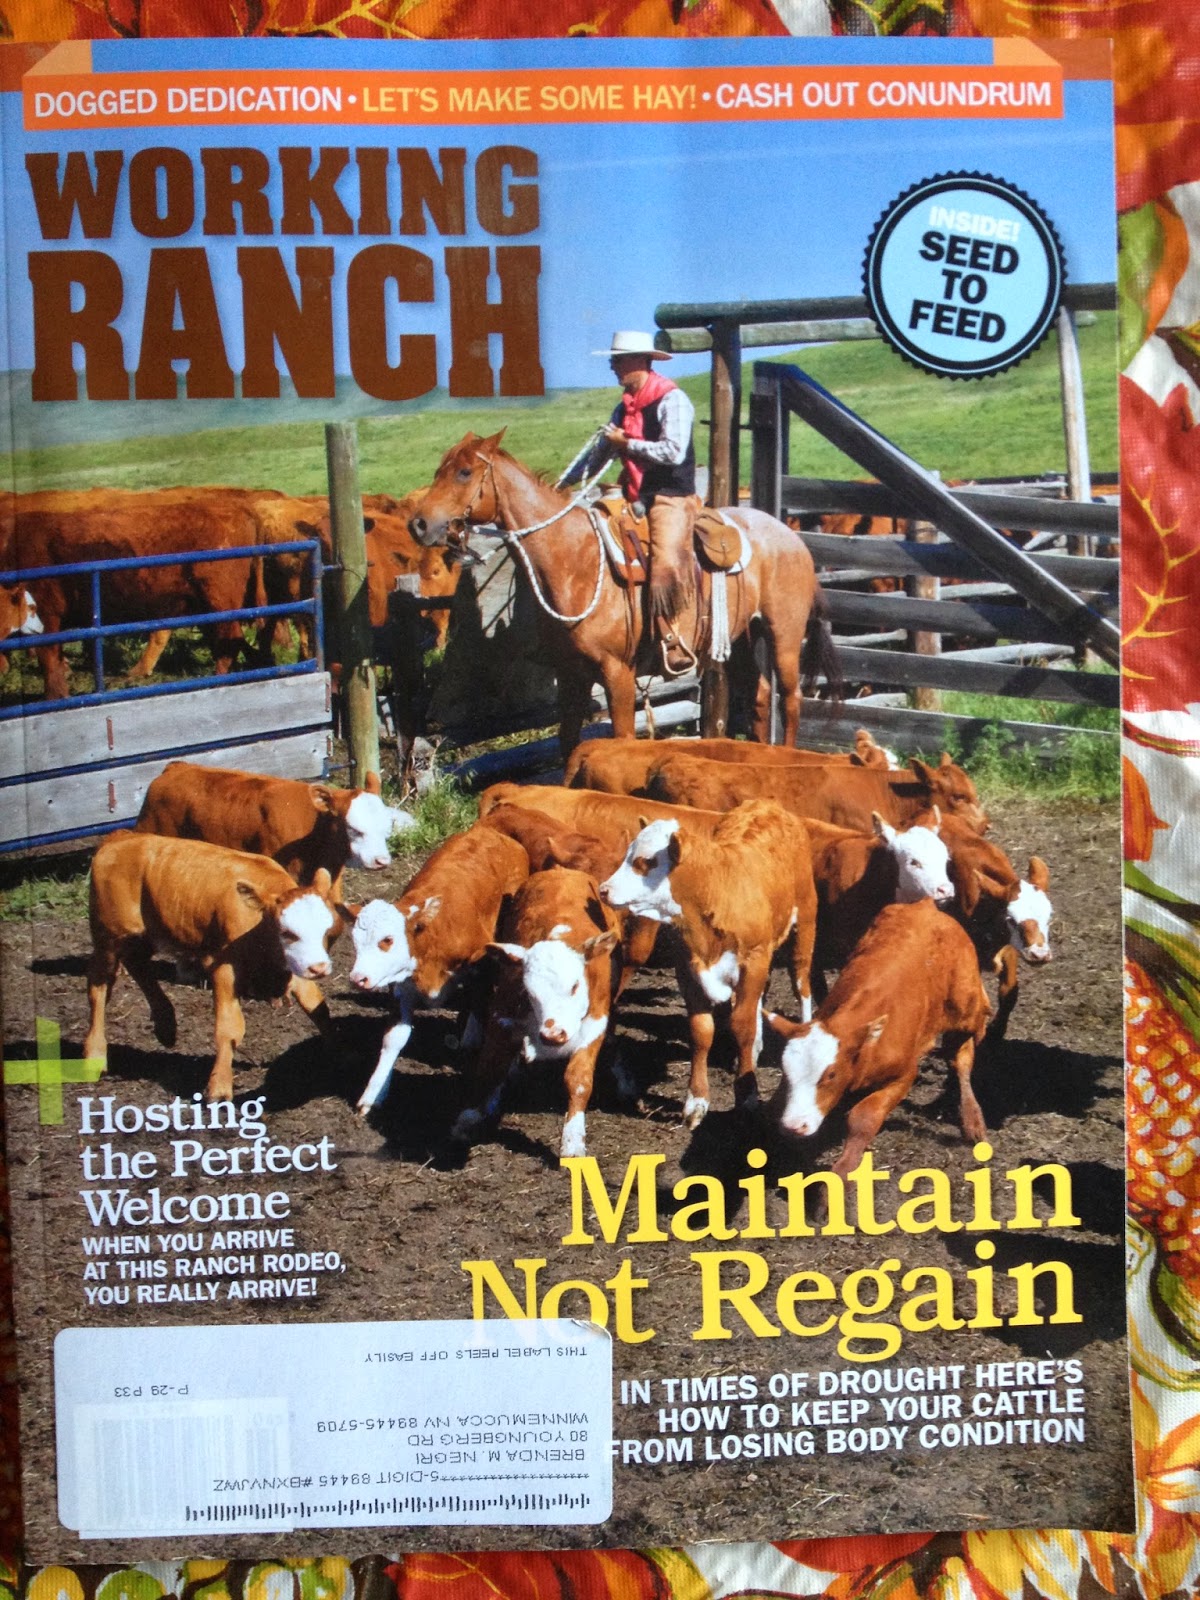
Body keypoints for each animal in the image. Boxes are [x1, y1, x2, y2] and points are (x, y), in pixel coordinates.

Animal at [83, 832, 339, 1101]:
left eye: (326, 929)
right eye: (287, 933)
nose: (320, 968)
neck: (257, 924)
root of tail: (120, 837)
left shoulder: (296, 964)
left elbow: (317, 1007)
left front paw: (337, 1056)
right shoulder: (224, 968)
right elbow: (229, 1027)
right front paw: (219, 1086)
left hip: (144, 933)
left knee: (137, 964)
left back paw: (166, 1025)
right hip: (108, 936)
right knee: (99, 984)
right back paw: (95, 1054)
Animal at [346, 825, 529, 1115]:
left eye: (387, 939)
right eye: (355, 941)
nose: (357, 978)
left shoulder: (483, 960)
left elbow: (482, 1002)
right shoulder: (401, 988)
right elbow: (393, 1039)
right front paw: (373, 1094)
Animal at [451, 867, 624, 1159]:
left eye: (575, 985)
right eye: (530, 991)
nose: (553, 1033)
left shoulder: (595, 1022)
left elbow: (578, 1079)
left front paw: (573, 1142)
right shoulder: (503, 1015)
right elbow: (489, 1068)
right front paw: (468, 1118)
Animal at [600, 799, 818, 1129]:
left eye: (647, 861)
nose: (604, 890)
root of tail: (766, 803)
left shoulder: (753, 960)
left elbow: (742, 1025)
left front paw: (747, 1096)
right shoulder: (688, 970)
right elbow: (702, 1031)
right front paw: (696, 1102)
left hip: (804, 922)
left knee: (800, 982)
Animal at [766, 897, 991, 1176]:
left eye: (831, 1074)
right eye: (785, 1071)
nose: (794, 1125)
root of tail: (926, 906)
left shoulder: (903, 1075)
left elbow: (864, 1117)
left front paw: (843, 1172)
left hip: (965, 1003)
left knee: (965, 1050)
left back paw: (973, 1119)